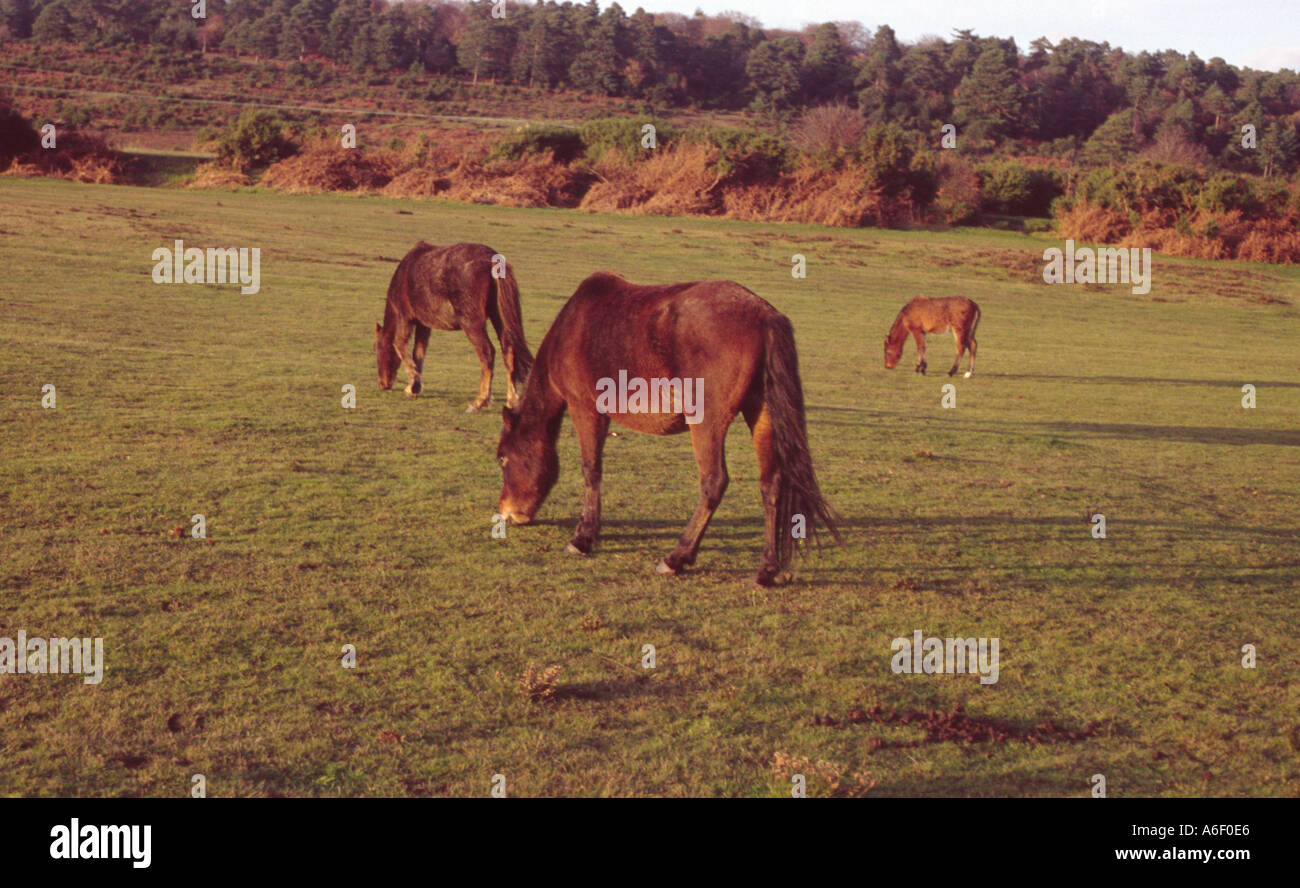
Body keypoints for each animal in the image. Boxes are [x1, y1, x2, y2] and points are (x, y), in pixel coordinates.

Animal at [374, 242, 533, 411]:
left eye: (378, 349)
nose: (382, 384)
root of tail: (492, 260)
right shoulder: (424, 324)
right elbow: (419, 352)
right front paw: (414, 387)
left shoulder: (405, 318)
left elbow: (399, 344)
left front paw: (413, 385)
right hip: (498, 318)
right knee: (508, 351)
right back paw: (512, 400)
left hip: (471, 324)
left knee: (487, 353)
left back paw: (479, 401)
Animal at [495, 272, 840, 587]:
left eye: (502, 458)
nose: (507, 513)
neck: (572, 328)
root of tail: (763, 315)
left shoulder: (586, 410)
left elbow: (591, 469)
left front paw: (582, 539)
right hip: (762, 414)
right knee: (771, 485)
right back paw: (766, 570)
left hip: (706, 422)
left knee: (714, 482)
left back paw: (676, 558)